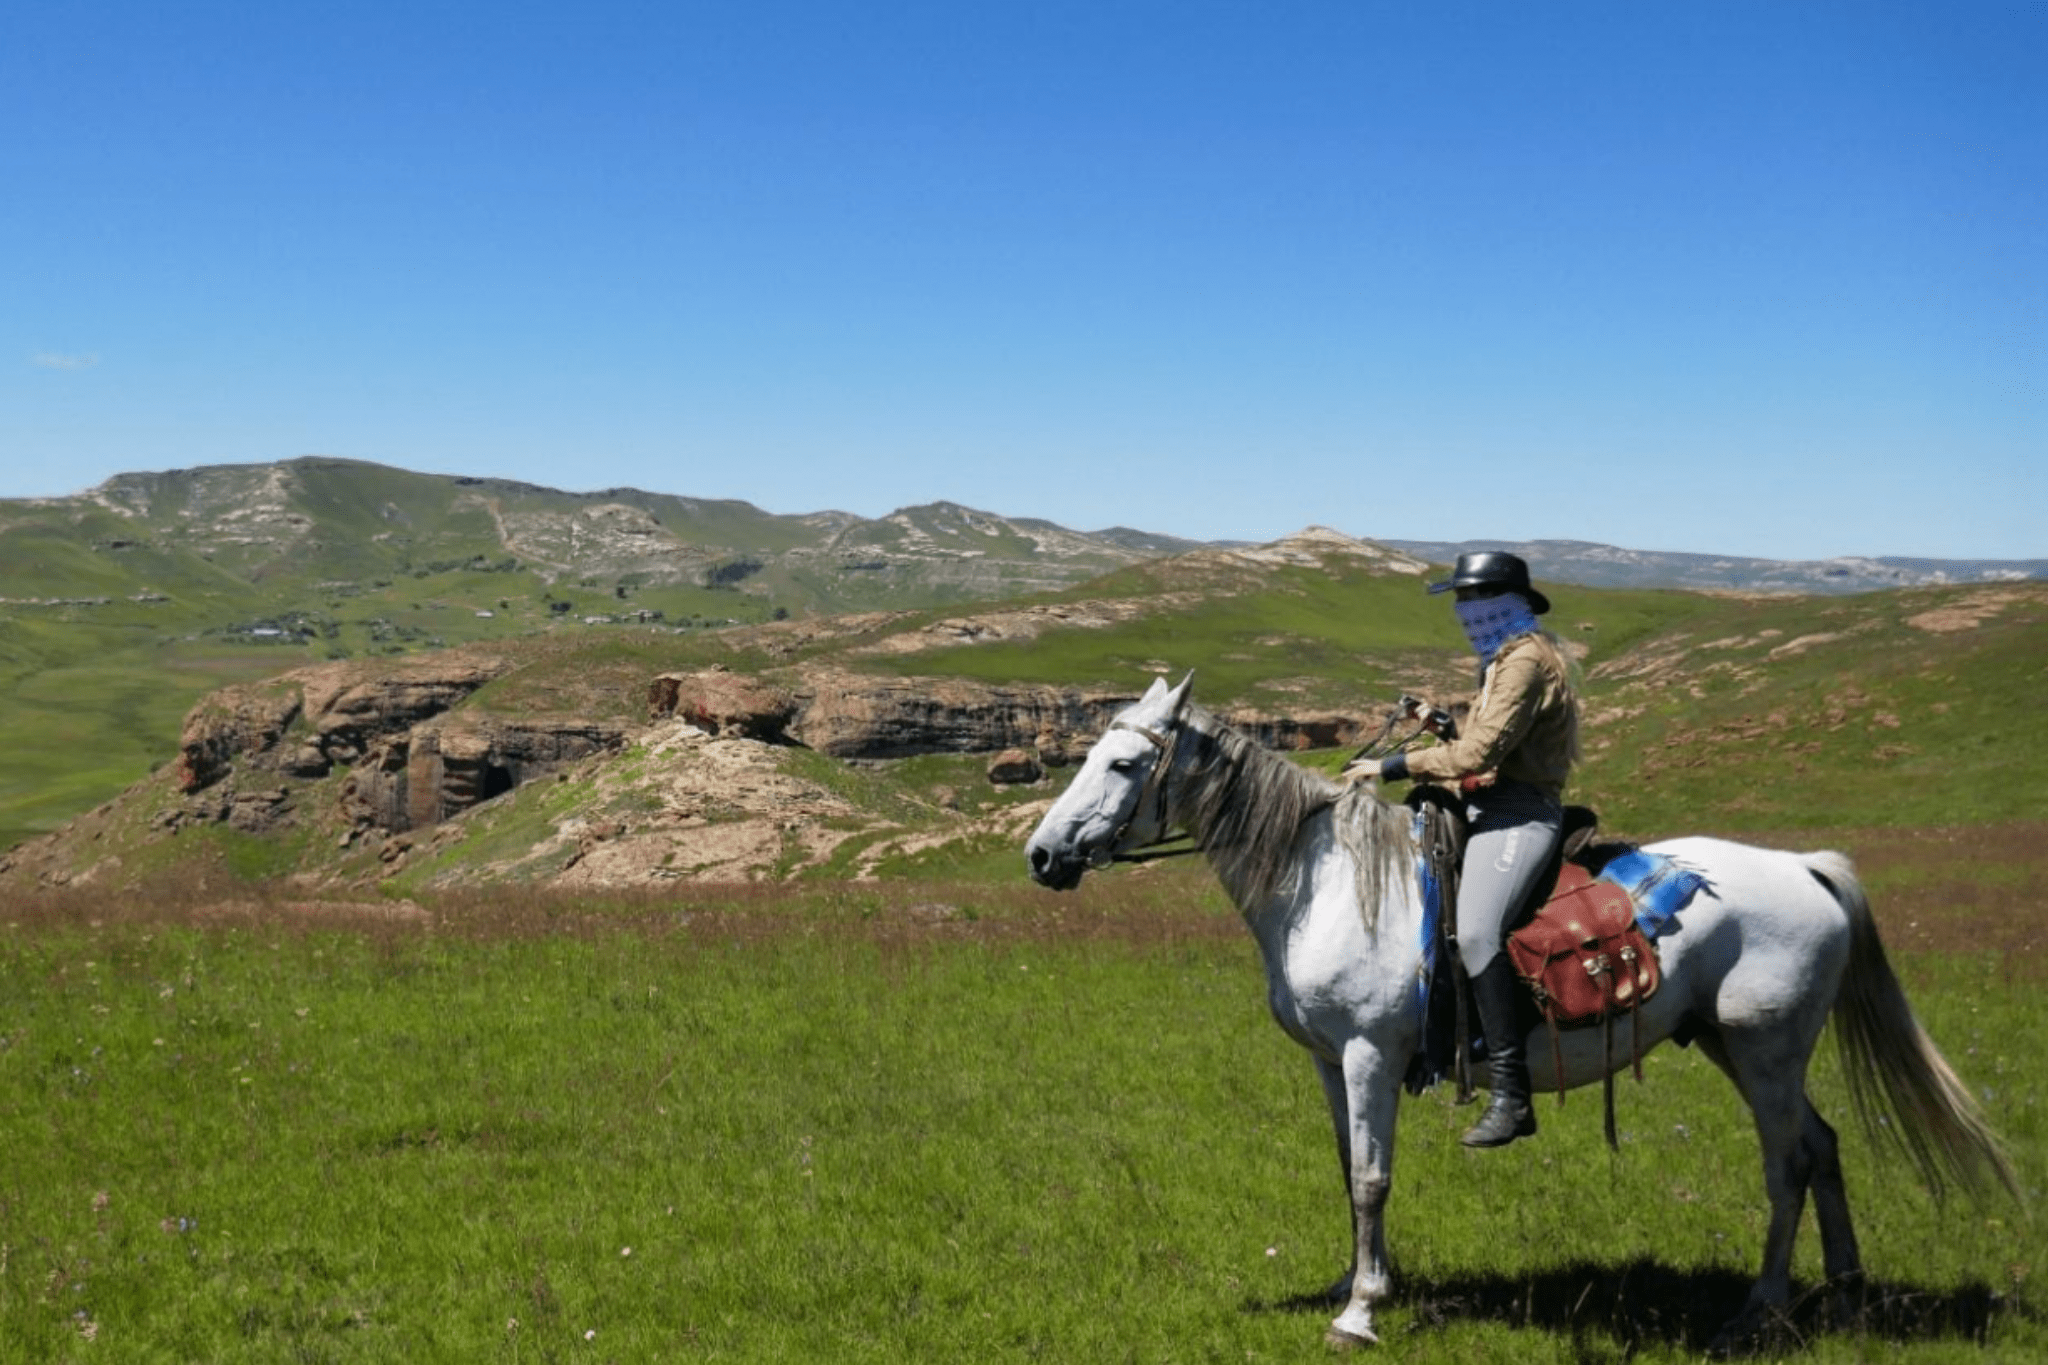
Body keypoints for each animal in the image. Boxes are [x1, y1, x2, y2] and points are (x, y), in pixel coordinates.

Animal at [1023, 674, 2016, 1350]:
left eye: (1122, 761)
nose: (1040, 855)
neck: (1327, 882)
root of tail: (1806, 866)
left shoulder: (1369, 1054)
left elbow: (1372, 1177)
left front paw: (1360, 1312)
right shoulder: (1327, 1060)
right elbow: (1348, 1168)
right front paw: (1357, 1275)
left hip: (1765, 1050)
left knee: (1789, 1162)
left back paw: (1760, 1310)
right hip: (1733, 1046)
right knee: (1824, 1146)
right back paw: (1843, 1295)